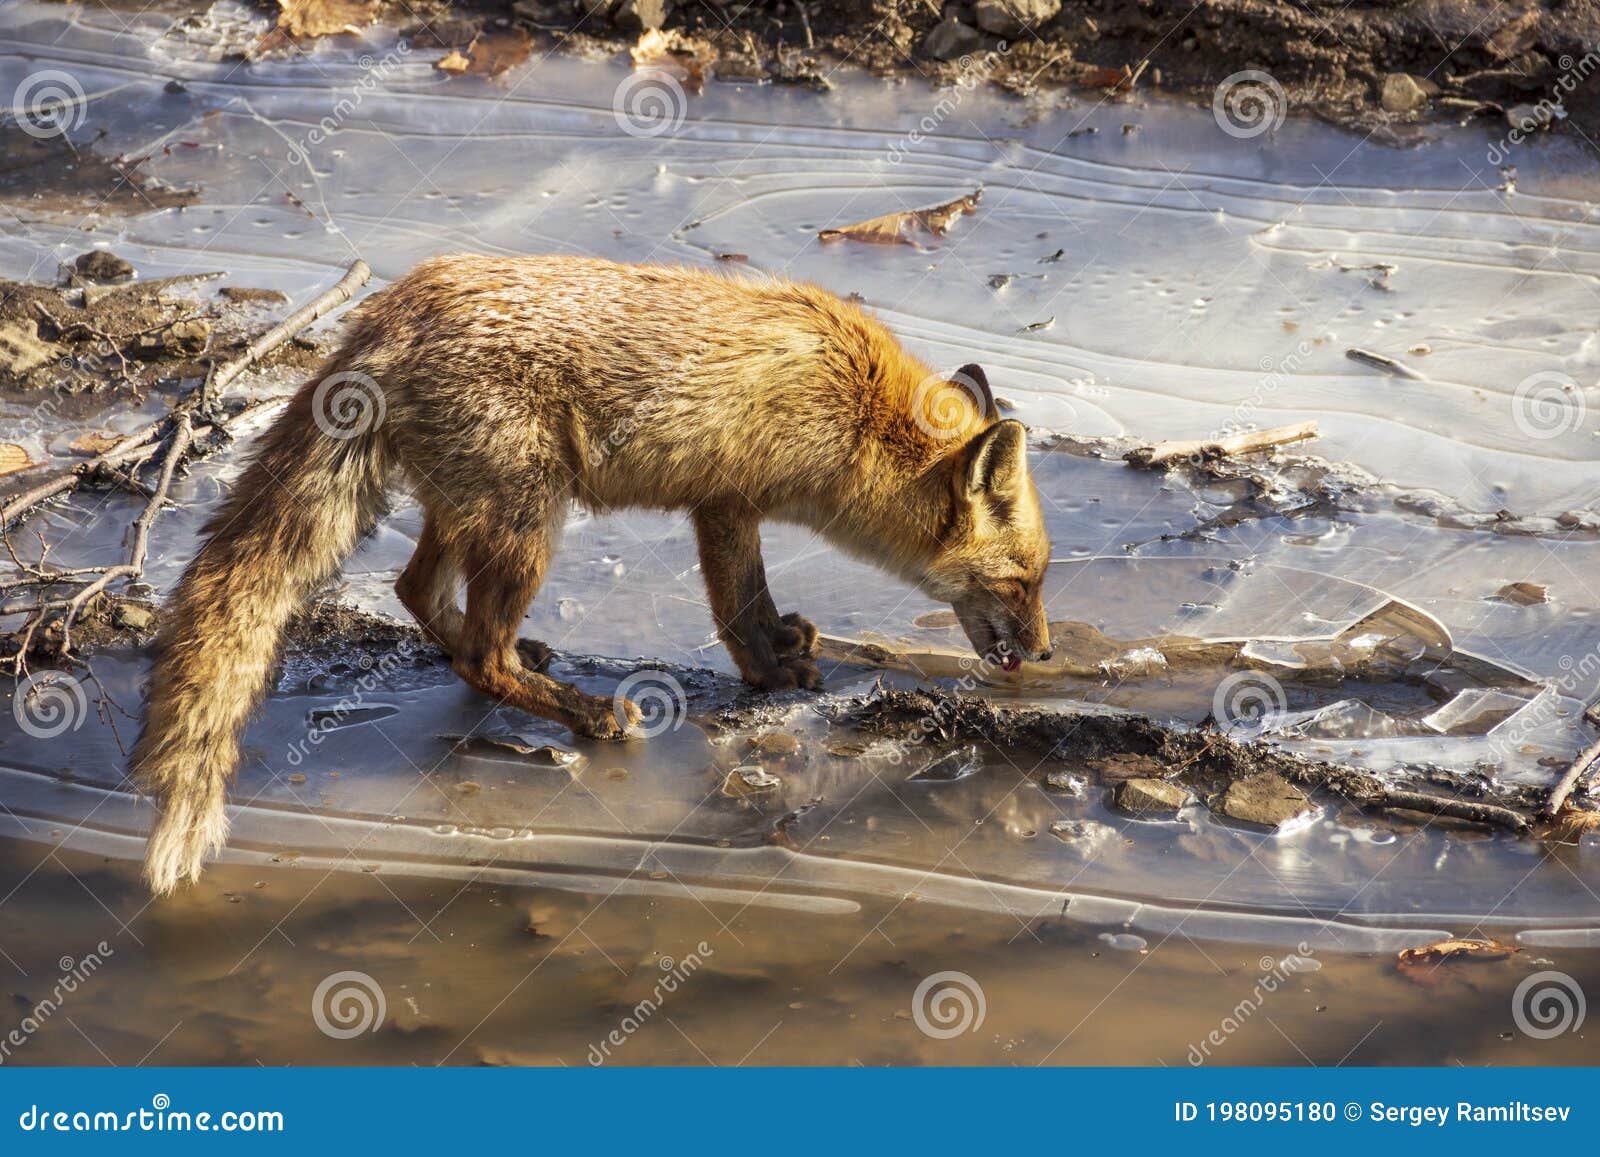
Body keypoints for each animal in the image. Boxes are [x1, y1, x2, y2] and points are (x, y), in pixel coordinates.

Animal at [131, 255, 1053, 894]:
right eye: (1023, 581)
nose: (1043, 653)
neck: (858, 412)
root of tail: (389, 310)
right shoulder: (725, 502)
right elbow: (738, 610)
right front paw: (771, 672)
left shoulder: (731, 503)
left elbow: (753, 603)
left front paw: (786, 648)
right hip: (530, 518)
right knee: (481, 657)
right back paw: (586, 713)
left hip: (472, 511)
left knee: (419, 593)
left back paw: (518, 661)